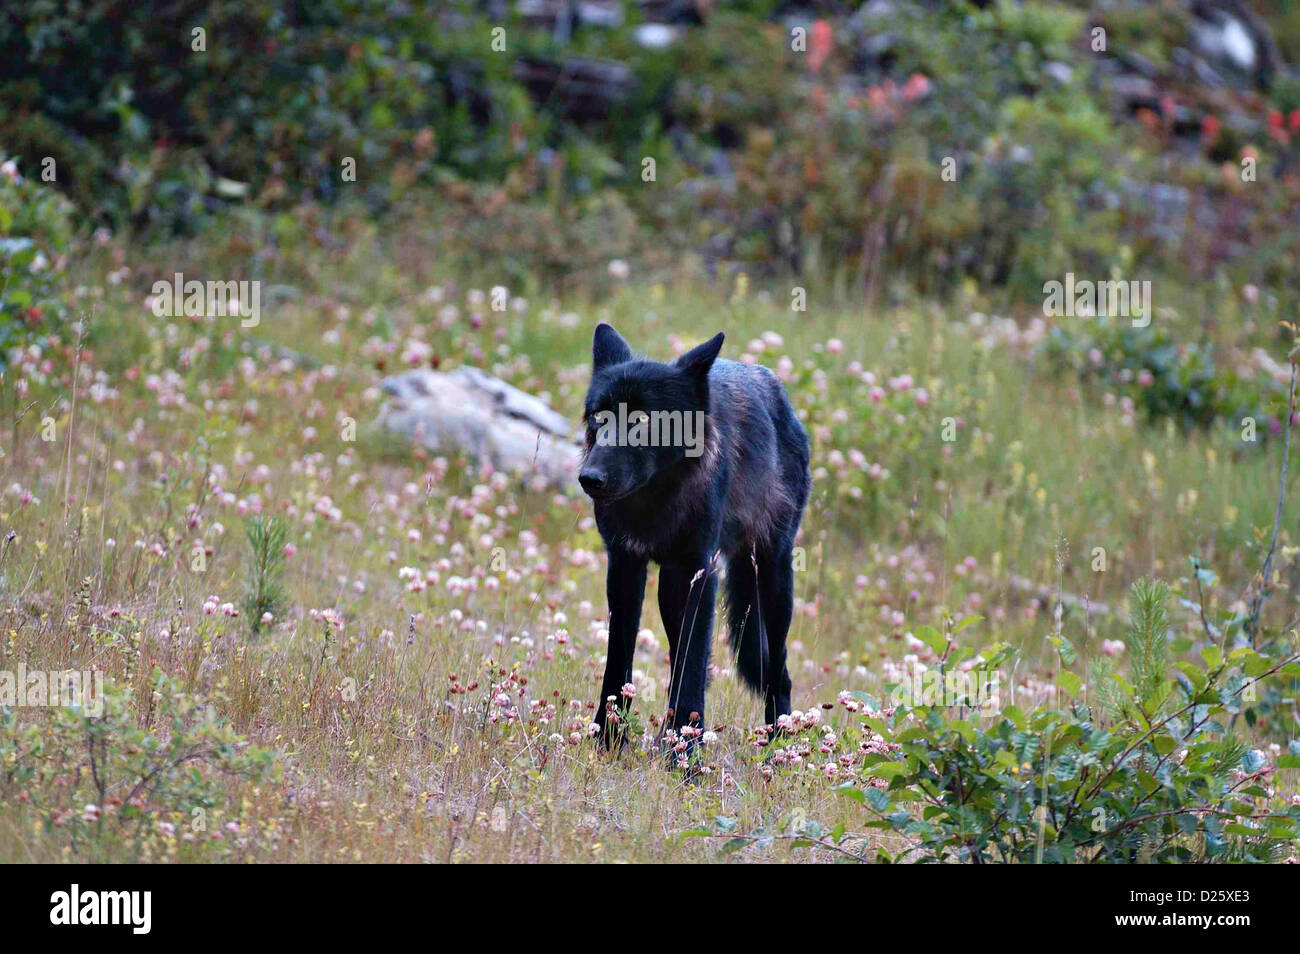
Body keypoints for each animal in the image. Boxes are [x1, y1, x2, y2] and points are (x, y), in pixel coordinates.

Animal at [578, 322, 811, 750]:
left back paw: (777, 746)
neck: (654, 504)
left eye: (642, 420)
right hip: (671, 590)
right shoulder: (624, 567)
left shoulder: (701, 572)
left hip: (774, 581)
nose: (590, 478)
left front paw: (685, 755)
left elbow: (692, 669)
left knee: (779, 673)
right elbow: (619, 663)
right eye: (599, 418)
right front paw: (609, 740)